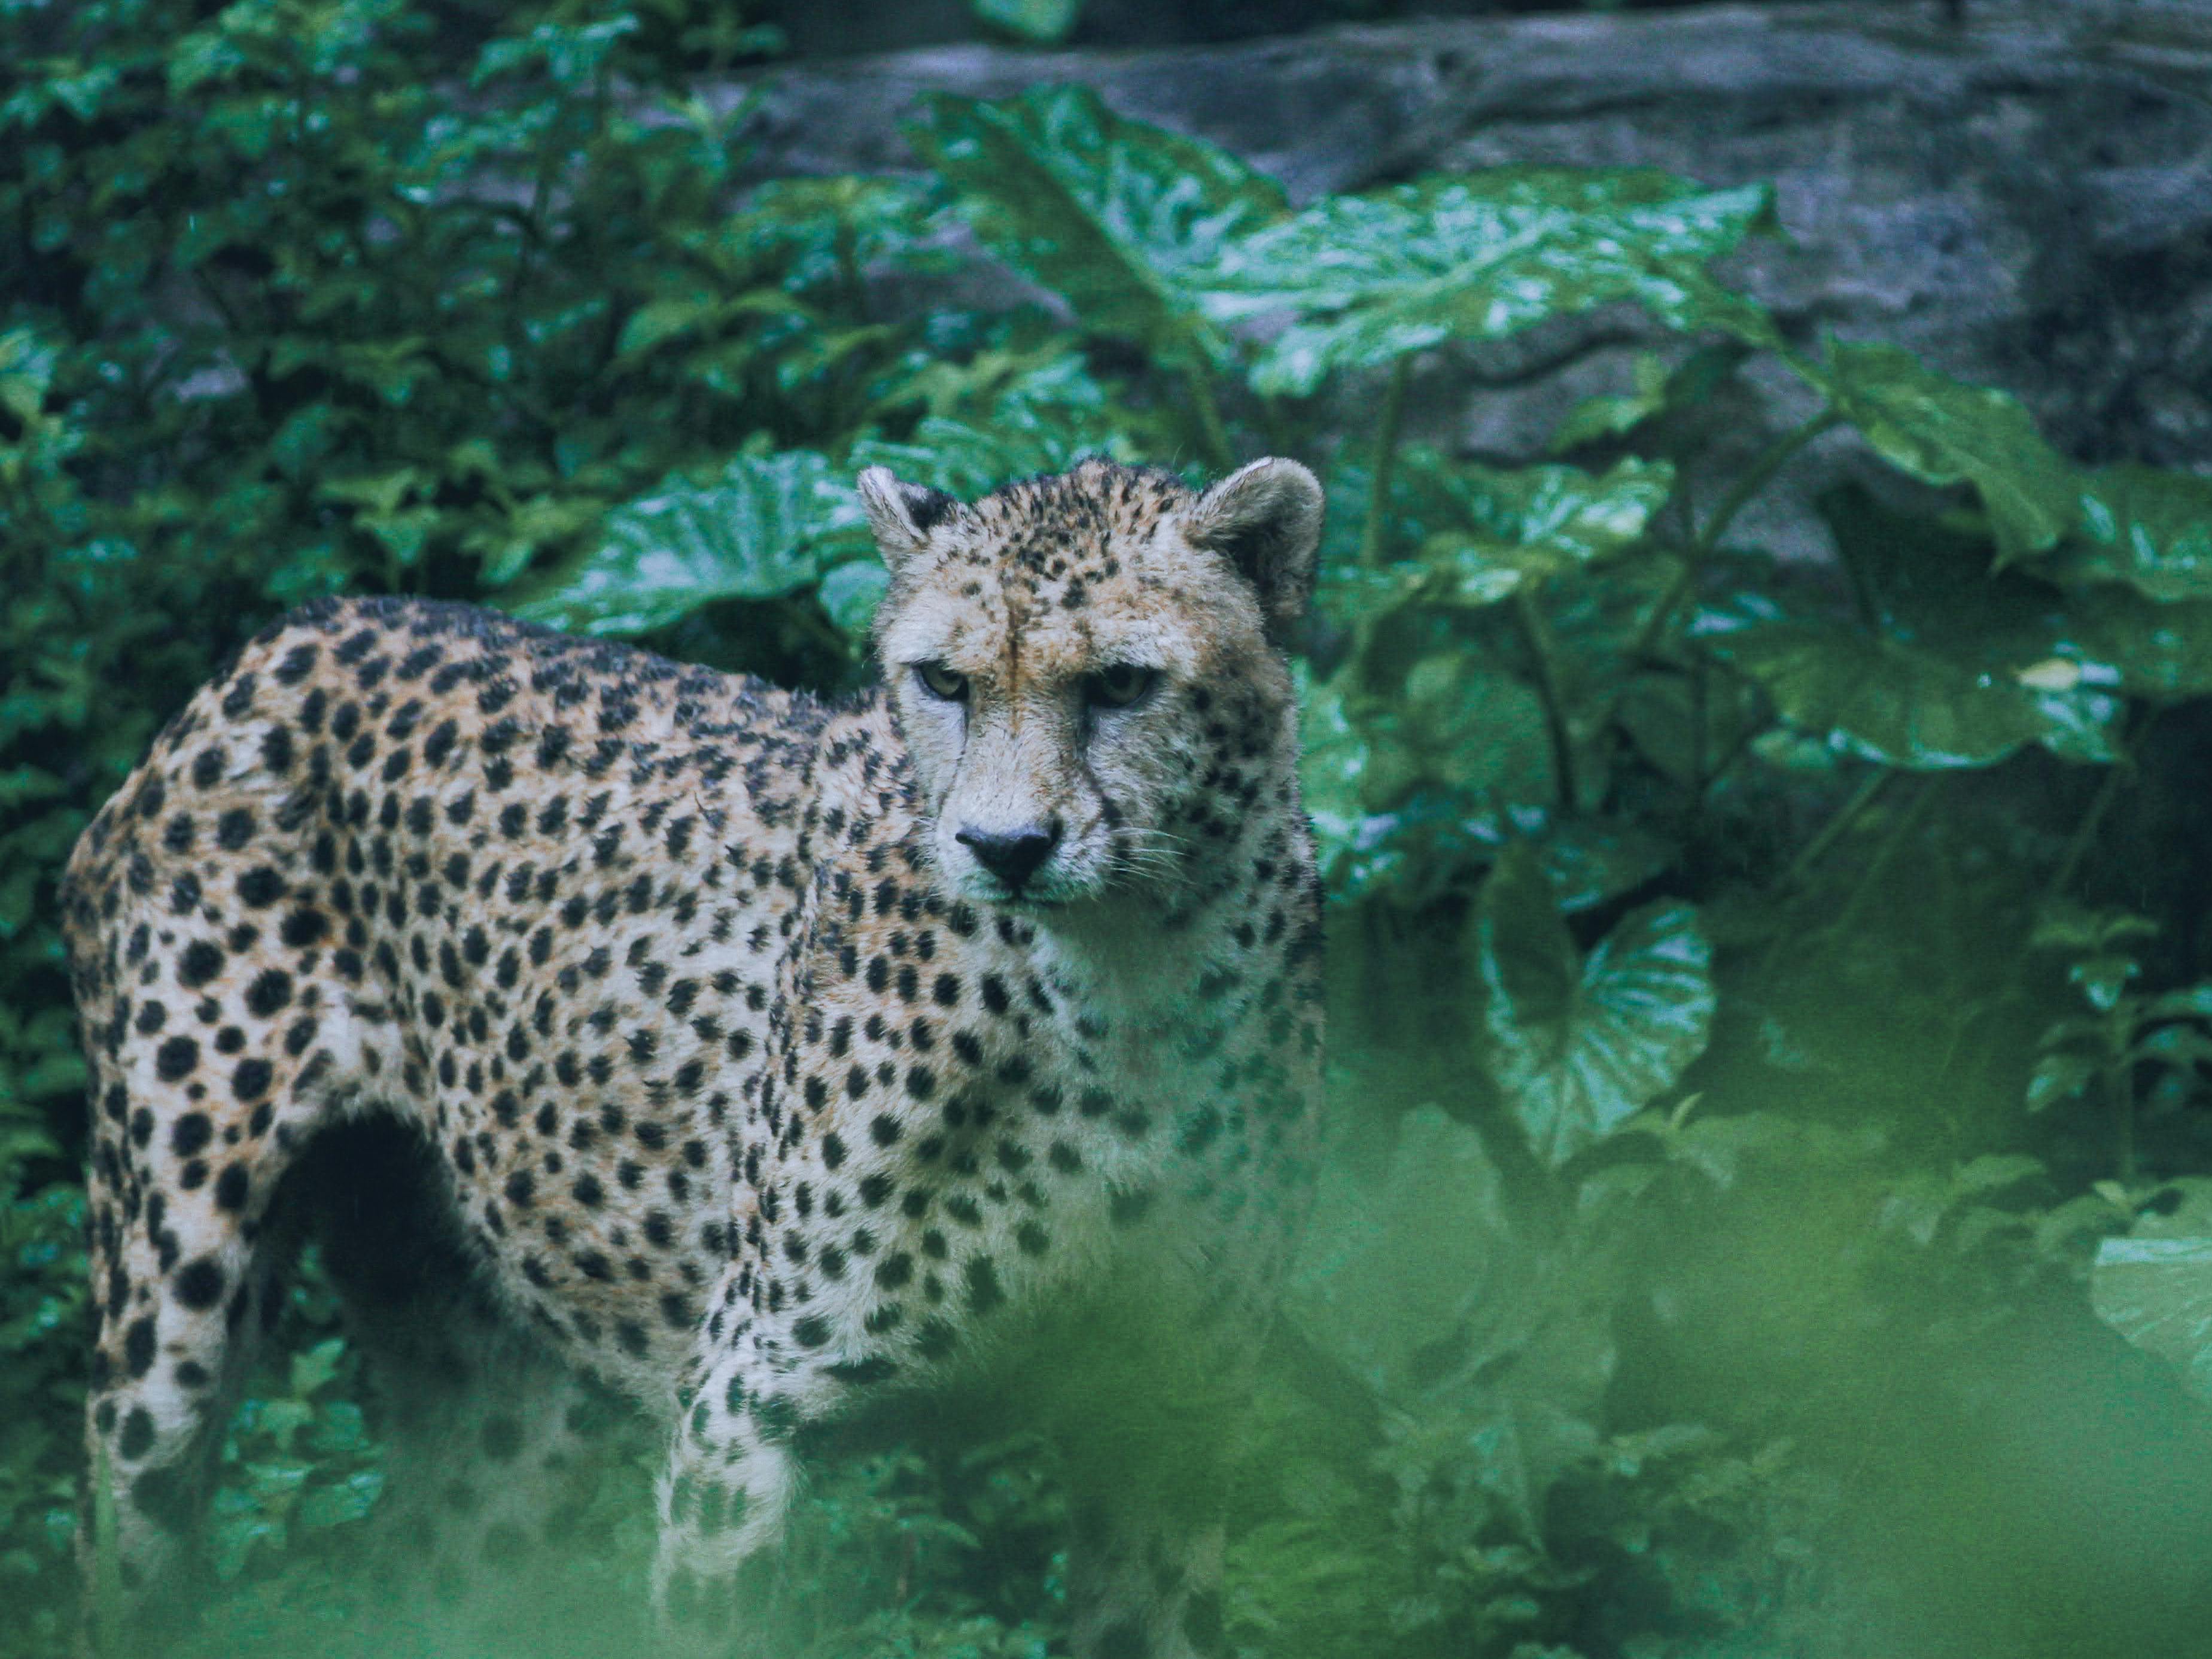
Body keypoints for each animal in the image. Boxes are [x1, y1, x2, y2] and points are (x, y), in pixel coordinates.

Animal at [60, 454, 1328, 1656]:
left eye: (1120, 682)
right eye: (943, 681)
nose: (1004, 846)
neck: (1125, 988)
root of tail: (308, 624)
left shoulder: (1165, 1427)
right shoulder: (742, 1416)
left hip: (504, 1413)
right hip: (168, 1312)